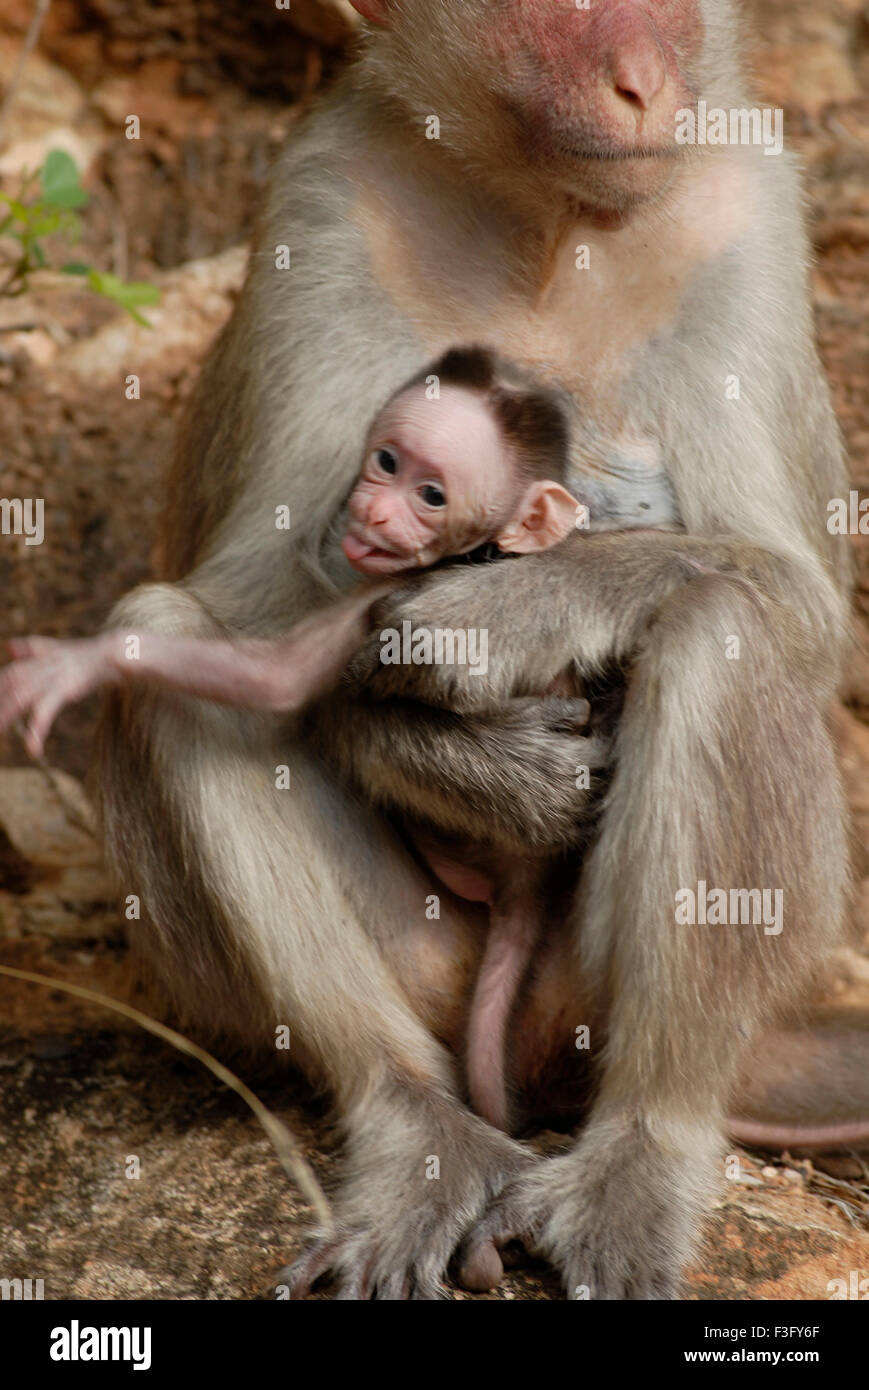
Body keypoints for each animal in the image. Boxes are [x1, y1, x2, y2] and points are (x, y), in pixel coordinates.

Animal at [75, 0, 865, 1300]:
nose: (642, 83)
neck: (545, 223)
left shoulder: (744, 207)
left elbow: (797, 602)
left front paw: (505, 617)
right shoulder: (323, 199)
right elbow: (244, 594)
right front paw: (452, 752)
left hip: (612, 988)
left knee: (722, 625)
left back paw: (644, 1142)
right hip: (424, 971)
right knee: (160, 640)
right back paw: (417, 1127)